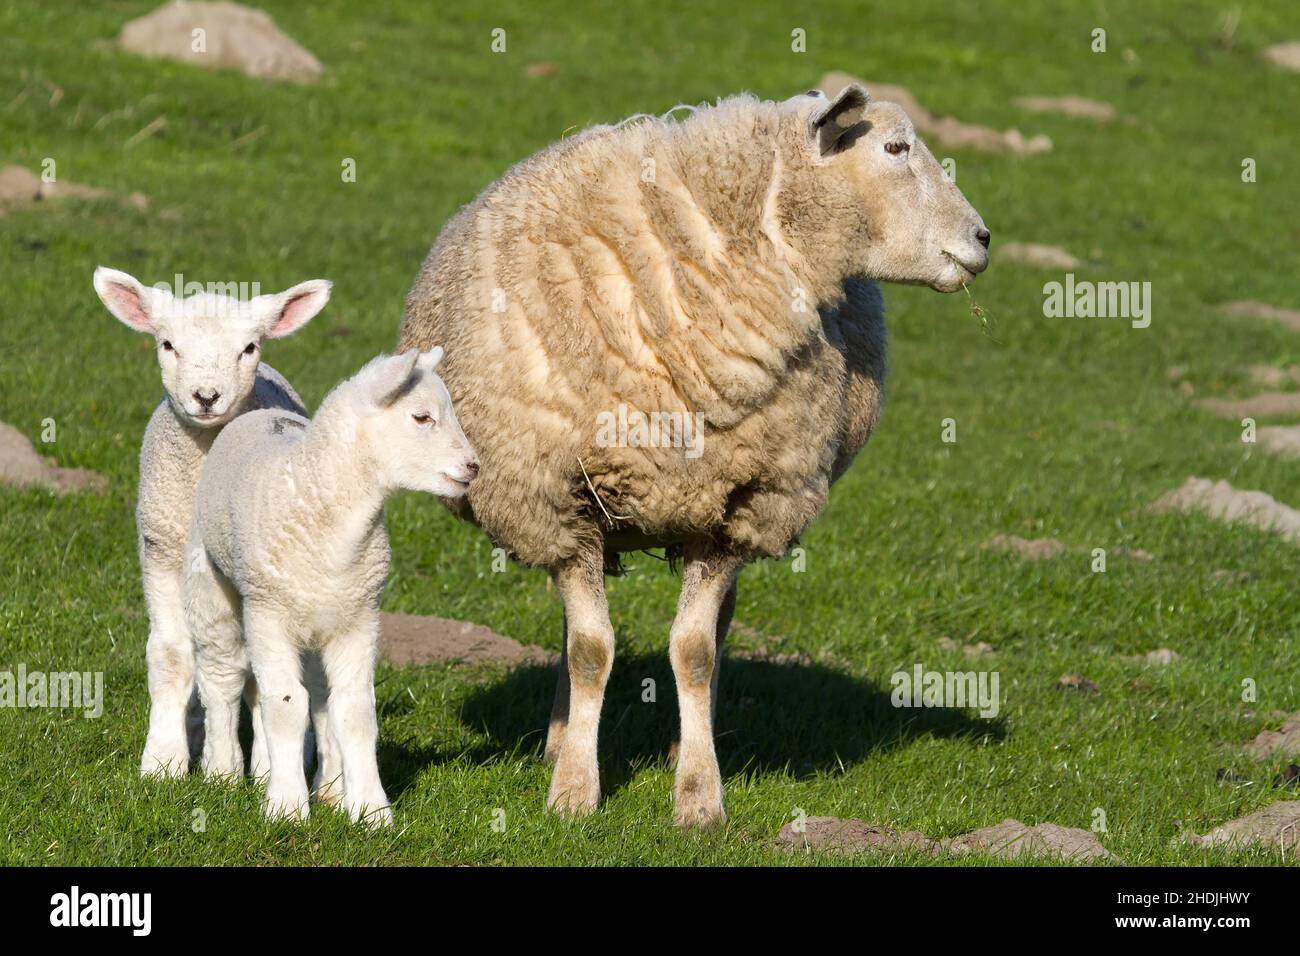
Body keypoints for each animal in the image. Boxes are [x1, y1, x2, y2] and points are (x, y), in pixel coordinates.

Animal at [93, 267, 331, 778]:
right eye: (167, 344)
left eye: (249, 347)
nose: (206, 397)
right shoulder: (160, 552)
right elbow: (170, 655)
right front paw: (163, 760)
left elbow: (258, 675)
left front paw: (261, 767)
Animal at [183, 349, 478, 824]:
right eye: (422, 417)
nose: (474, 466)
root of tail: (258, 415)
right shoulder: (268, 613)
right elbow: (286, 708)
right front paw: (286, 807)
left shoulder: (359, 619)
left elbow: (354, 712)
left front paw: (371, 810)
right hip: (213, 586)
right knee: (223, 680)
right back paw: (223, 772)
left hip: (320, 618)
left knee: (318, 699)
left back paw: (322, 787)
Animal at [399, 84, 991, 827]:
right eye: (894, 147)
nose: (983, 239)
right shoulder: (557, 502)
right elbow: (590, 649)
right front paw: (573, 790)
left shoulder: (737, 508)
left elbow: (696, 651)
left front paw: (699, 796)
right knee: (574, 631)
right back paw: (561, 739)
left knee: (718, 628)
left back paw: (686, 739)